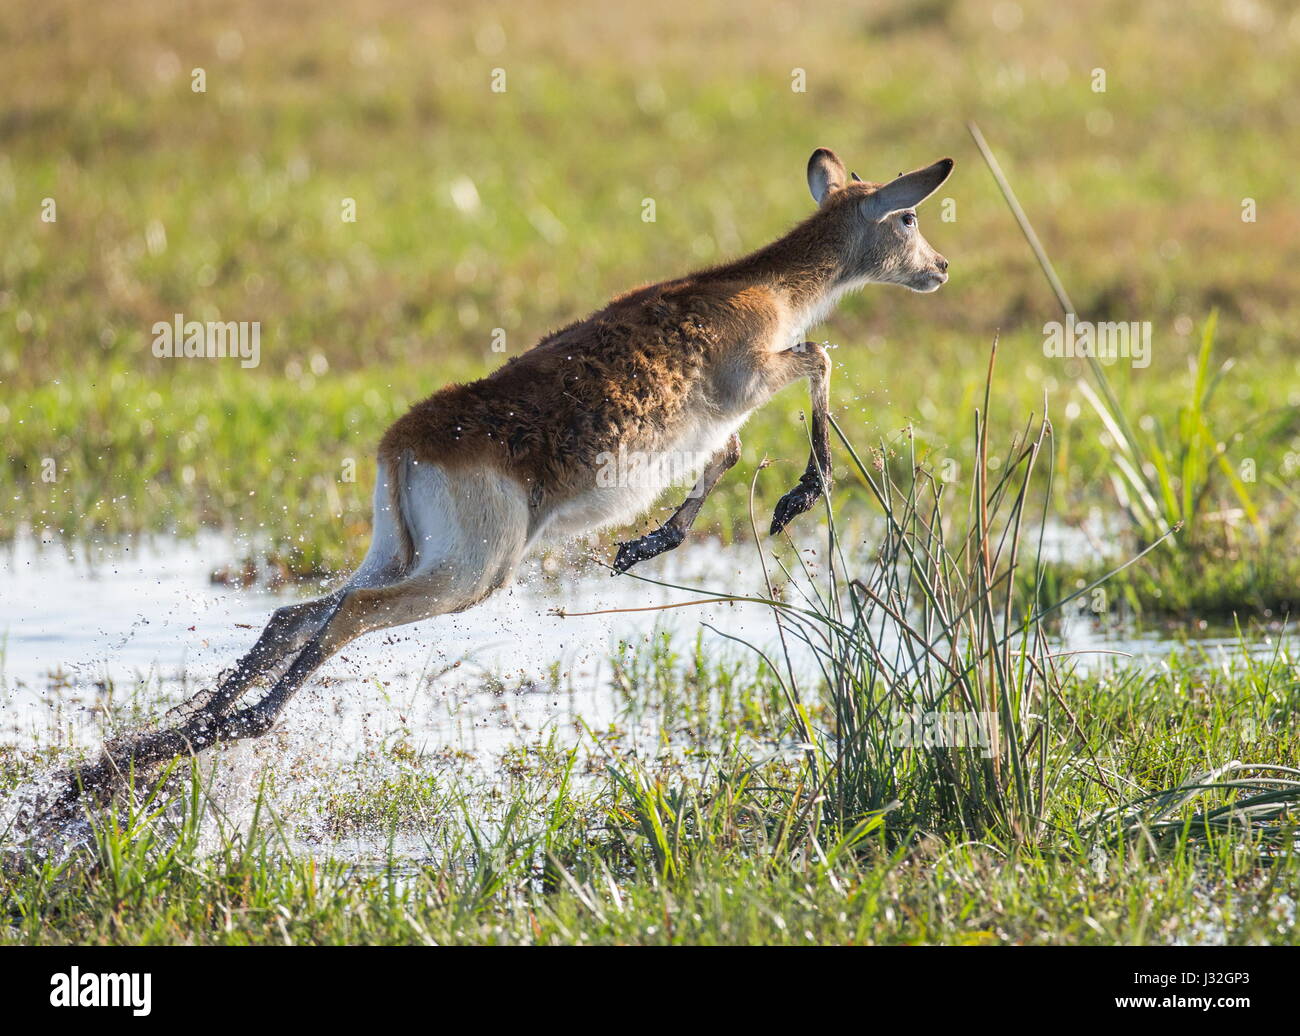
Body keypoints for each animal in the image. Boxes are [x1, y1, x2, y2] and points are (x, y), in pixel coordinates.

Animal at [57, 147, 953, 803]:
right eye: (907, 213)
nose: (940, 267)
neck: (757, 287)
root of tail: (403, 442)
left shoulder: (711, 430)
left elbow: (725, 457)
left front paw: (644, 545)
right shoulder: (755, 375)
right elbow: (819, 358)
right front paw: (798, 498)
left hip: (399, 550)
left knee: (295, 616)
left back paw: (124, 760)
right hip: (470, 573)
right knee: (346, 619)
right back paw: (236, 731)